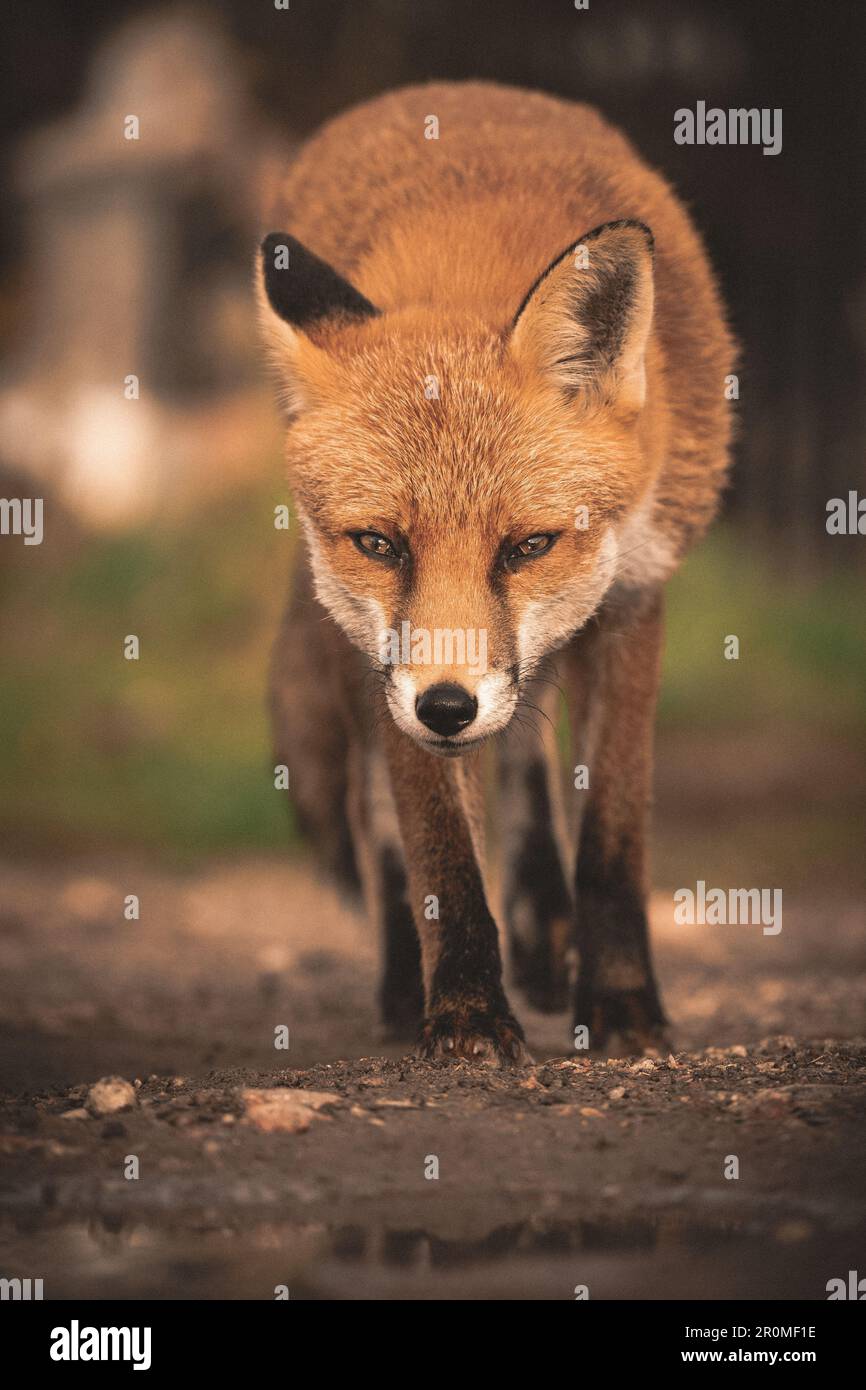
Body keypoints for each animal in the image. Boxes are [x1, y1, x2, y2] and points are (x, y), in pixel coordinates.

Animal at [257, 82, 734, 1064]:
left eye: (526, 546)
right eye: (380, 544)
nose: (448, 707)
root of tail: (451, 91)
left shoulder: (633, 599)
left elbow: (612, 836)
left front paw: (622, 1005)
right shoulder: (390, 665)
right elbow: (437, 850)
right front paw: (468, 1011)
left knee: (526, 754)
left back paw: (546, 933)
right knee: (381, 817)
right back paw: (409, 986)